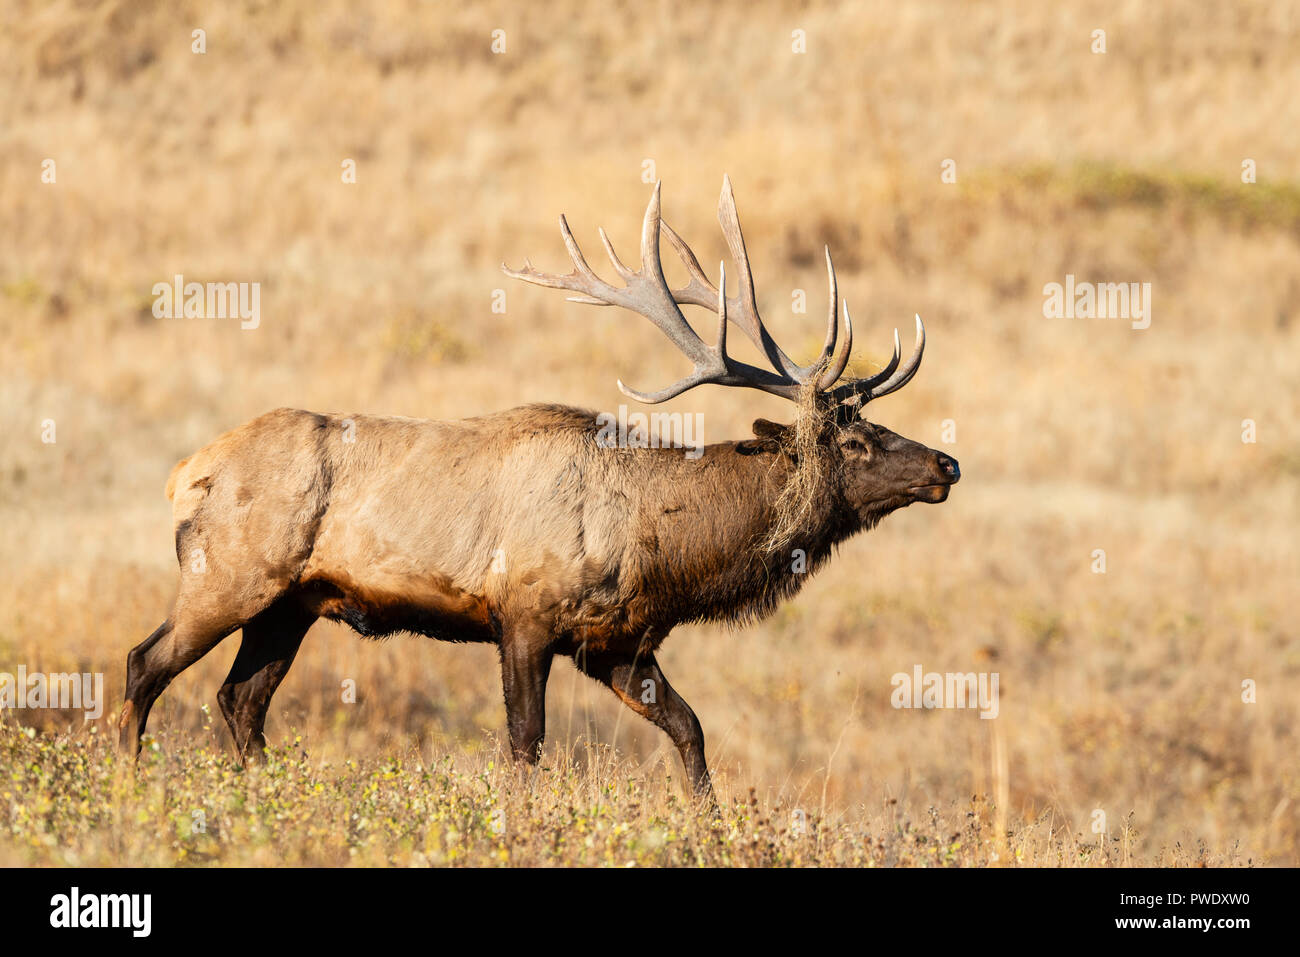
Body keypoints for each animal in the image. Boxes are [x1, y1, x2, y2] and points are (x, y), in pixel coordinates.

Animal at [119, 176, 959, 802]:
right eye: (854, 441)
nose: (945, 465)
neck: (659, 545)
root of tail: (186, 472)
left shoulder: (618, 642)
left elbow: (690, 728)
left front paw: (709, 819)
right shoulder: (522, 613)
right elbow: (526, 742)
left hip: (291, 603)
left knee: (241, 700)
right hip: (228, 576)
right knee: (144, 663)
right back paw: (125, 782)